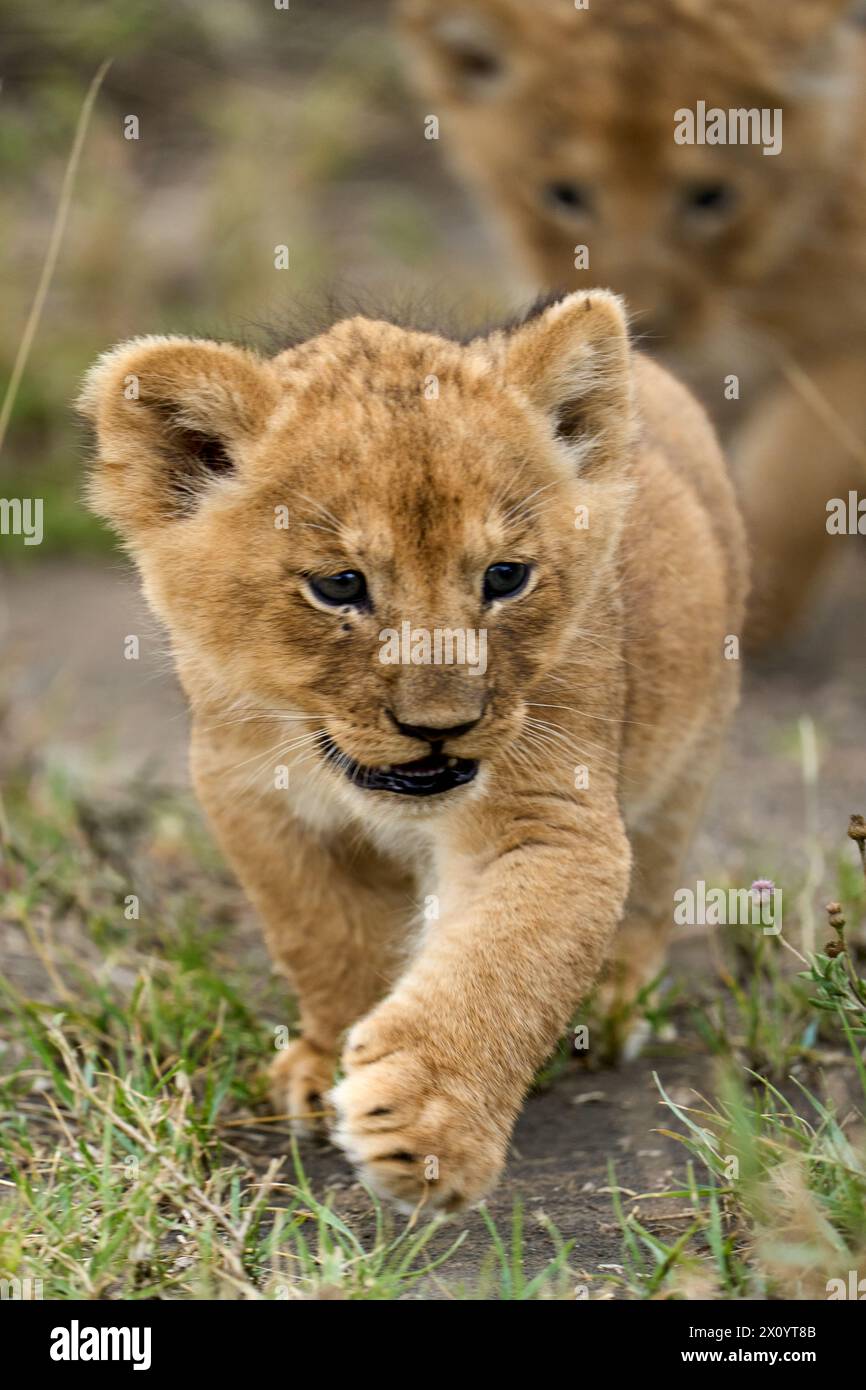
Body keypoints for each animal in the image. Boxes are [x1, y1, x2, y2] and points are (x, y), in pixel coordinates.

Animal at [78, 291, 746, 1210]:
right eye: (340, 585)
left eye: (505, 577)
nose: (441, 725)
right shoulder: (248, 792)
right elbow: (326, 938)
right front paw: (325, 1065)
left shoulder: (551, 811)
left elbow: (509, 959)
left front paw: (426, 1131)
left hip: (693, 750)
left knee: (649, 894)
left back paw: (611, 1011)